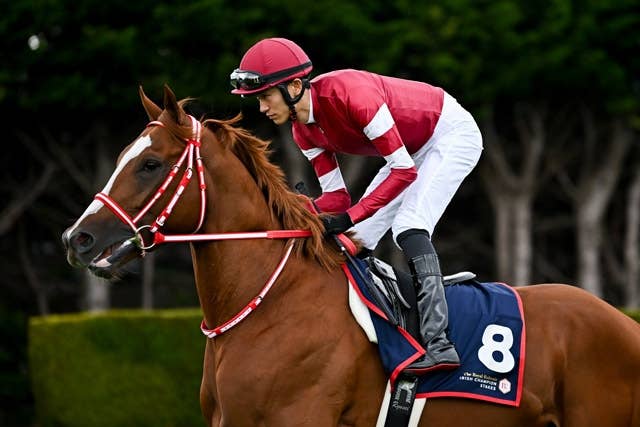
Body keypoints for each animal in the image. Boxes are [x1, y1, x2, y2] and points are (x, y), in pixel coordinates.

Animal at [62, 85, 640, 426]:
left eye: (151, 164)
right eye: (125, 157)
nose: (76, 238)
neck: (272, 302)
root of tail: (623, 322)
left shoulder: (300, 416)